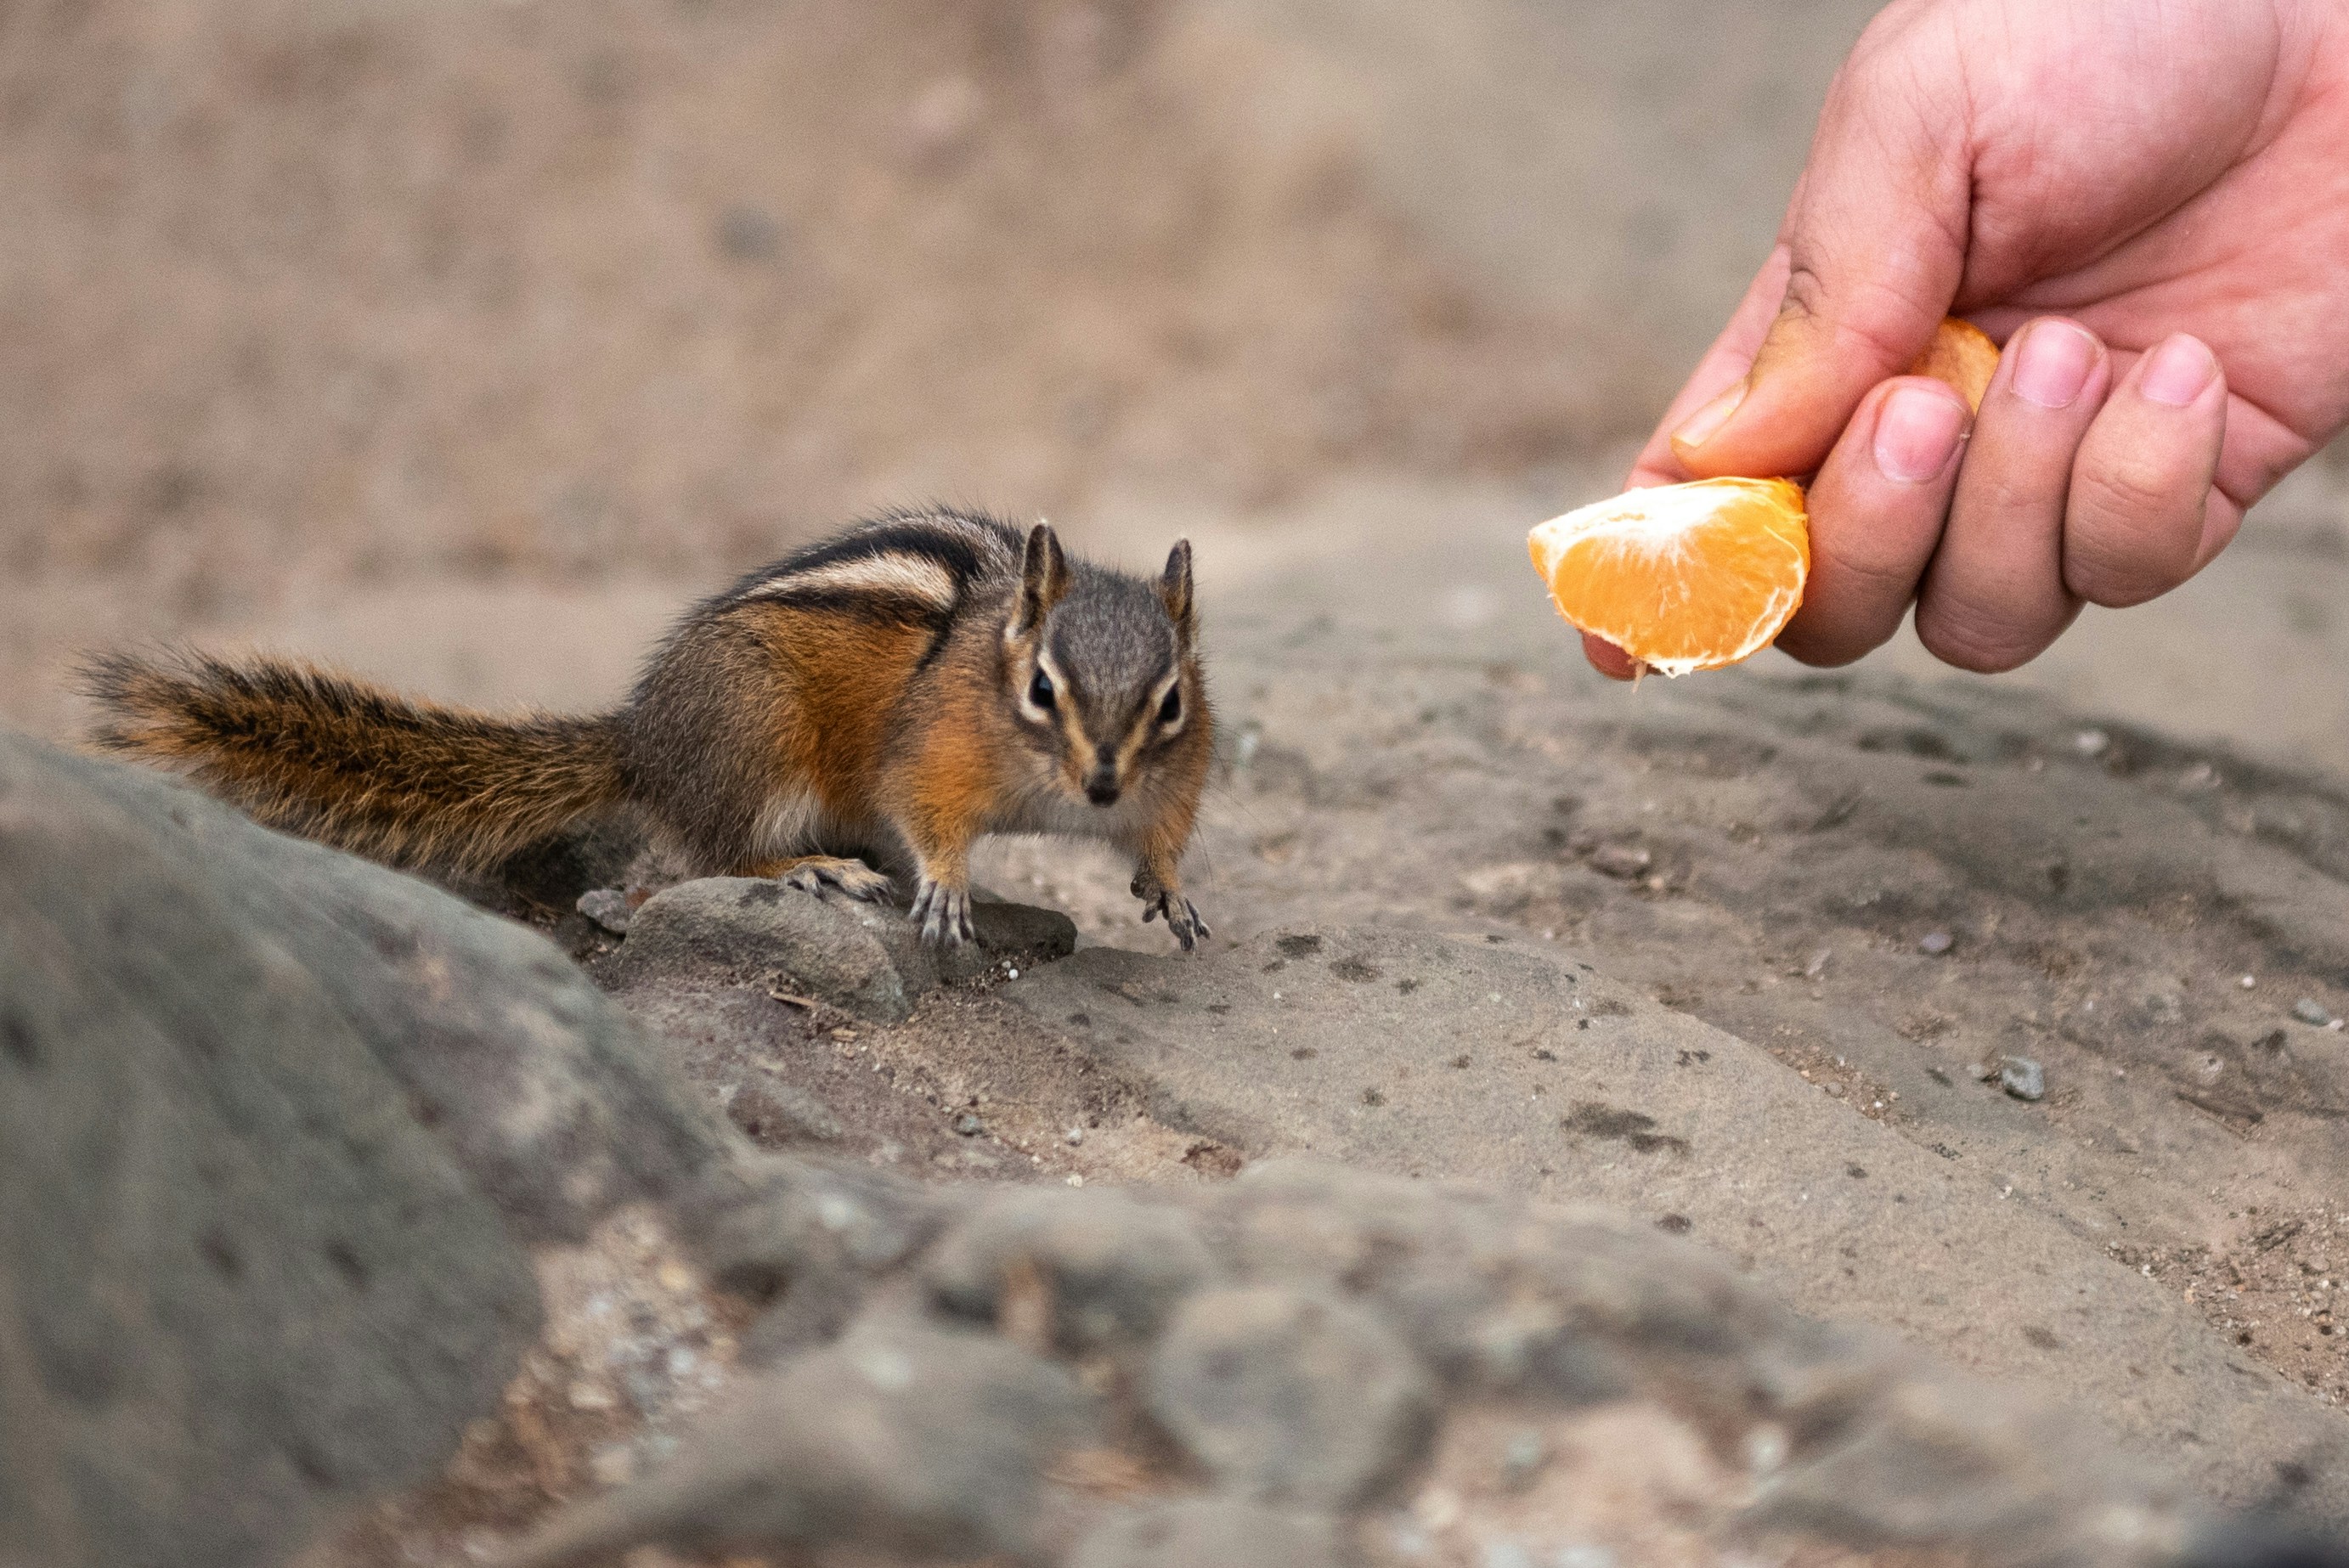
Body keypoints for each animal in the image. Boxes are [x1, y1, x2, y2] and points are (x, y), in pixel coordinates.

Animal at [83, 507, 1214, 949]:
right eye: (1041, 689)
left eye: (1168, 701)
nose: (1101, 785)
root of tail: (640, 737)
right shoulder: (929, 754)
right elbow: (923, 811)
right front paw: (943, 884)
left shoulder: (1175, 767)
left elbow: (1167, 829)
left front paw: (1168, 886)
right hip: (758, 739)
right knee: (716, 851)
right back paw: (811, 867)